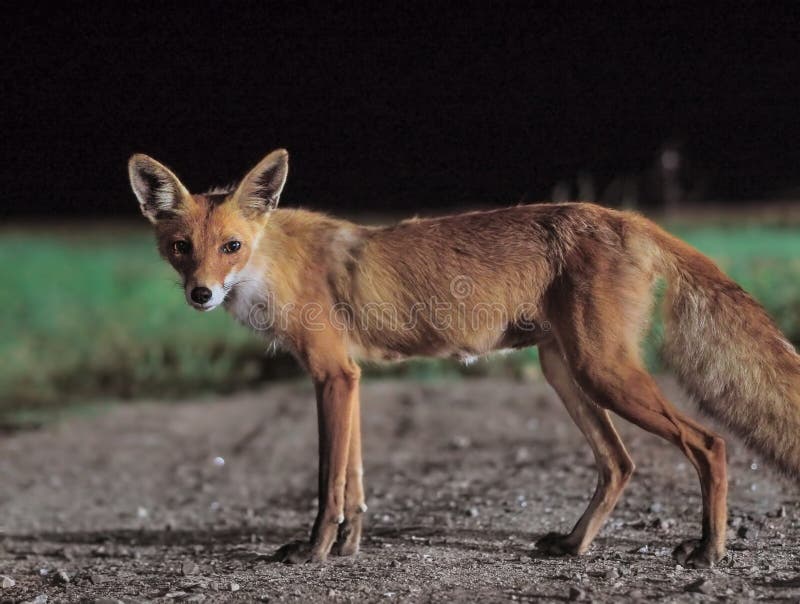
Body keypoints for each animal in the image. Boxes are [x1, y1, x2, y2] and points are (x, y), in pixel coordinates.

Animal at [128, 149, 800, 567]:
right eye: (182, 248)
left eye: (231, 247)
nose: (201, 294)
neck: (275, 264)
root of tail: (622, 215)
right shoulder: (350, 377)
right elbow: (356, 480)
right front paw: (348, 548)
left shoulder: (332, 374)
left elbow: (328, 483)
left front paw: (314, 553)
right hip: (566, 372)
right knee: (619, 464)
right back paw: (575, 546)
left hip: (604, 374)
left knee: (709, 444)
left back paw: (709, 550)